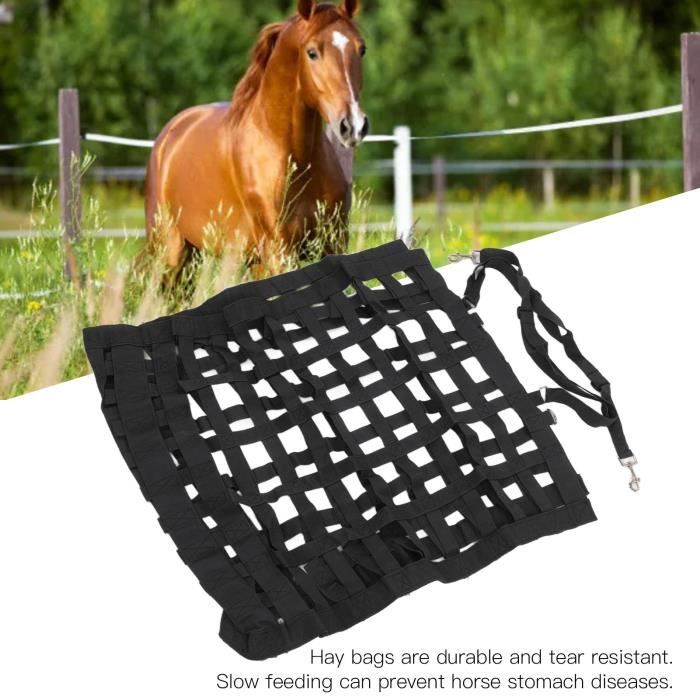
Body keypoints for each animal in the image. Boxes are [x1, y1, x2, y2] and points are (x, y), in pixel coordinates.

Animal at [144, 0, 369, 281]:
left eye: (361, 49)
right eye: (312, 52)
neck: (295, 157)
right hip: (170, 253)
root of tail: (169, 135)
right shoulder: (280, 251)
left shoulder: (333, 242)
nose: (353, 125)